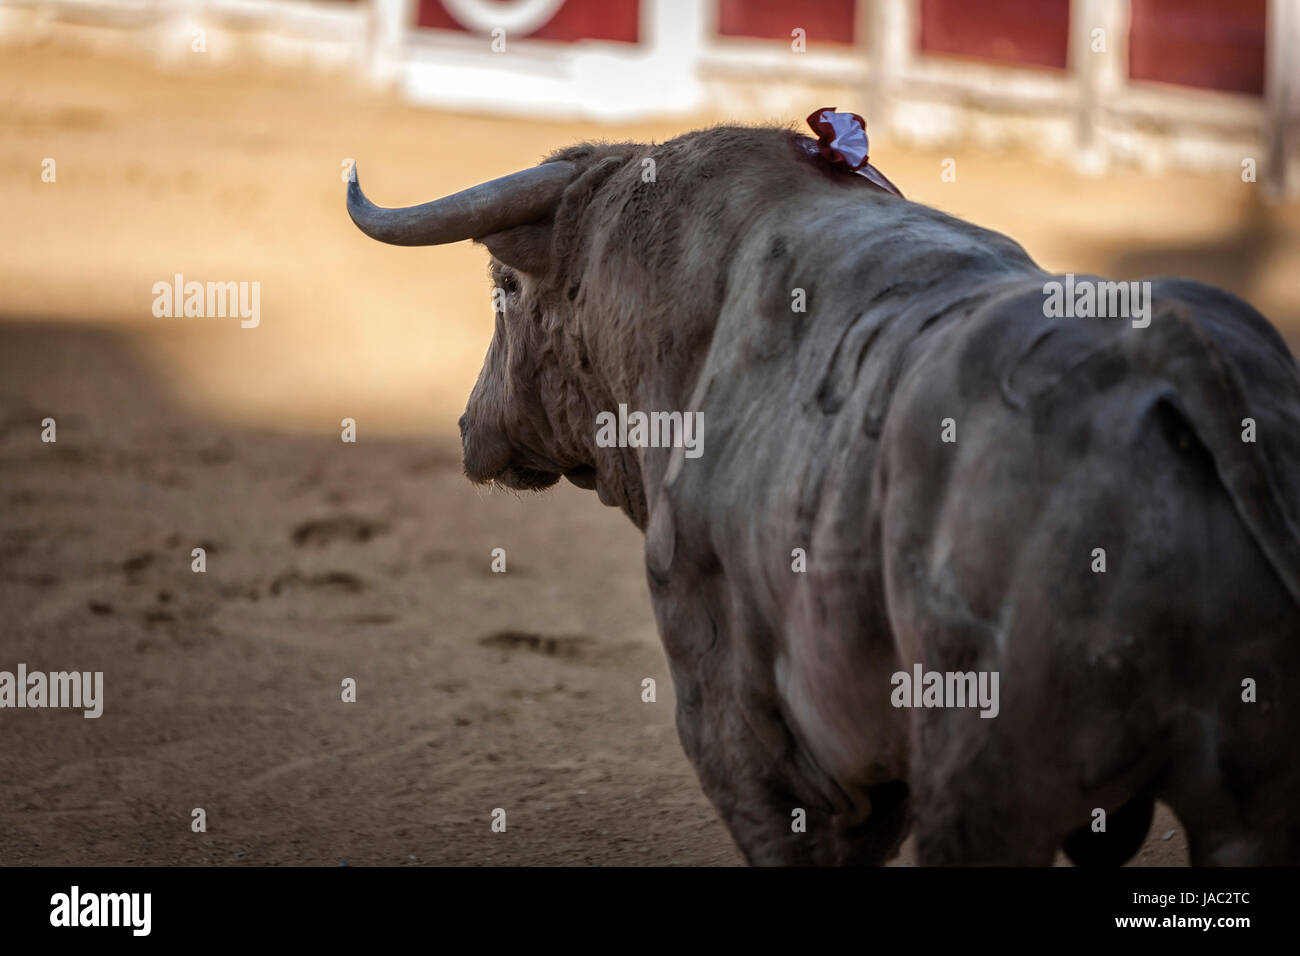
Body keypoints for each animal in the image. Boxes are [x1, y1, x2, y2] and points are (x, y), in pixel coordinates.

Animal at [347, 123, 1300, 866]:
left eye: (503, 289)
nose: (470, 427)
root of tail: (1166, 353)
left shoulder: (739, 718)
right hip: (1246, 806)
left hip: (987, 782)